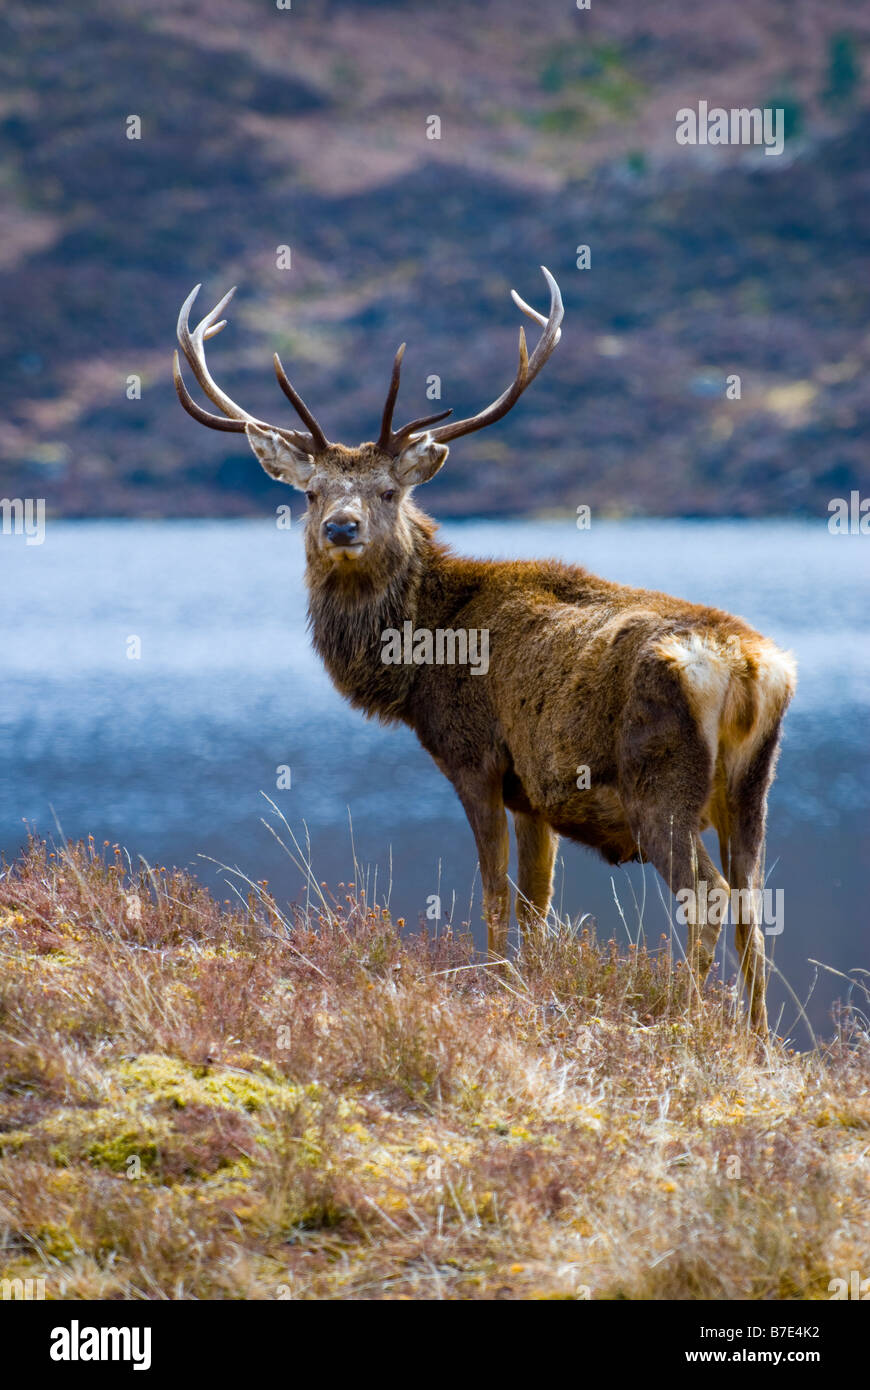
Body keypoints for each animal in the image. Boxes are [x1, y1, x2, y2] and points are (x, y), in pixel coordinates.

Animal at [172, 268, 796, 1035]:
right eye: (312, 492)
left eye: (388, 490)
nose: (342, 527)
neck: (416, 664)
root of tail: (749, 669)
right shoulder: (534, 791)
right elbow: (538, 904)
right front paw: (529, 985)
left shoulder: (474, 756)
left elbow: (495, 894)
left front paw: (496, 987)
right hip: (750, 790)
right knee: (753, 908)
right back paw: (754, 1039)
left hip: (662, 783)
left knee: (706, 896)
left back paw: (681, 1014)